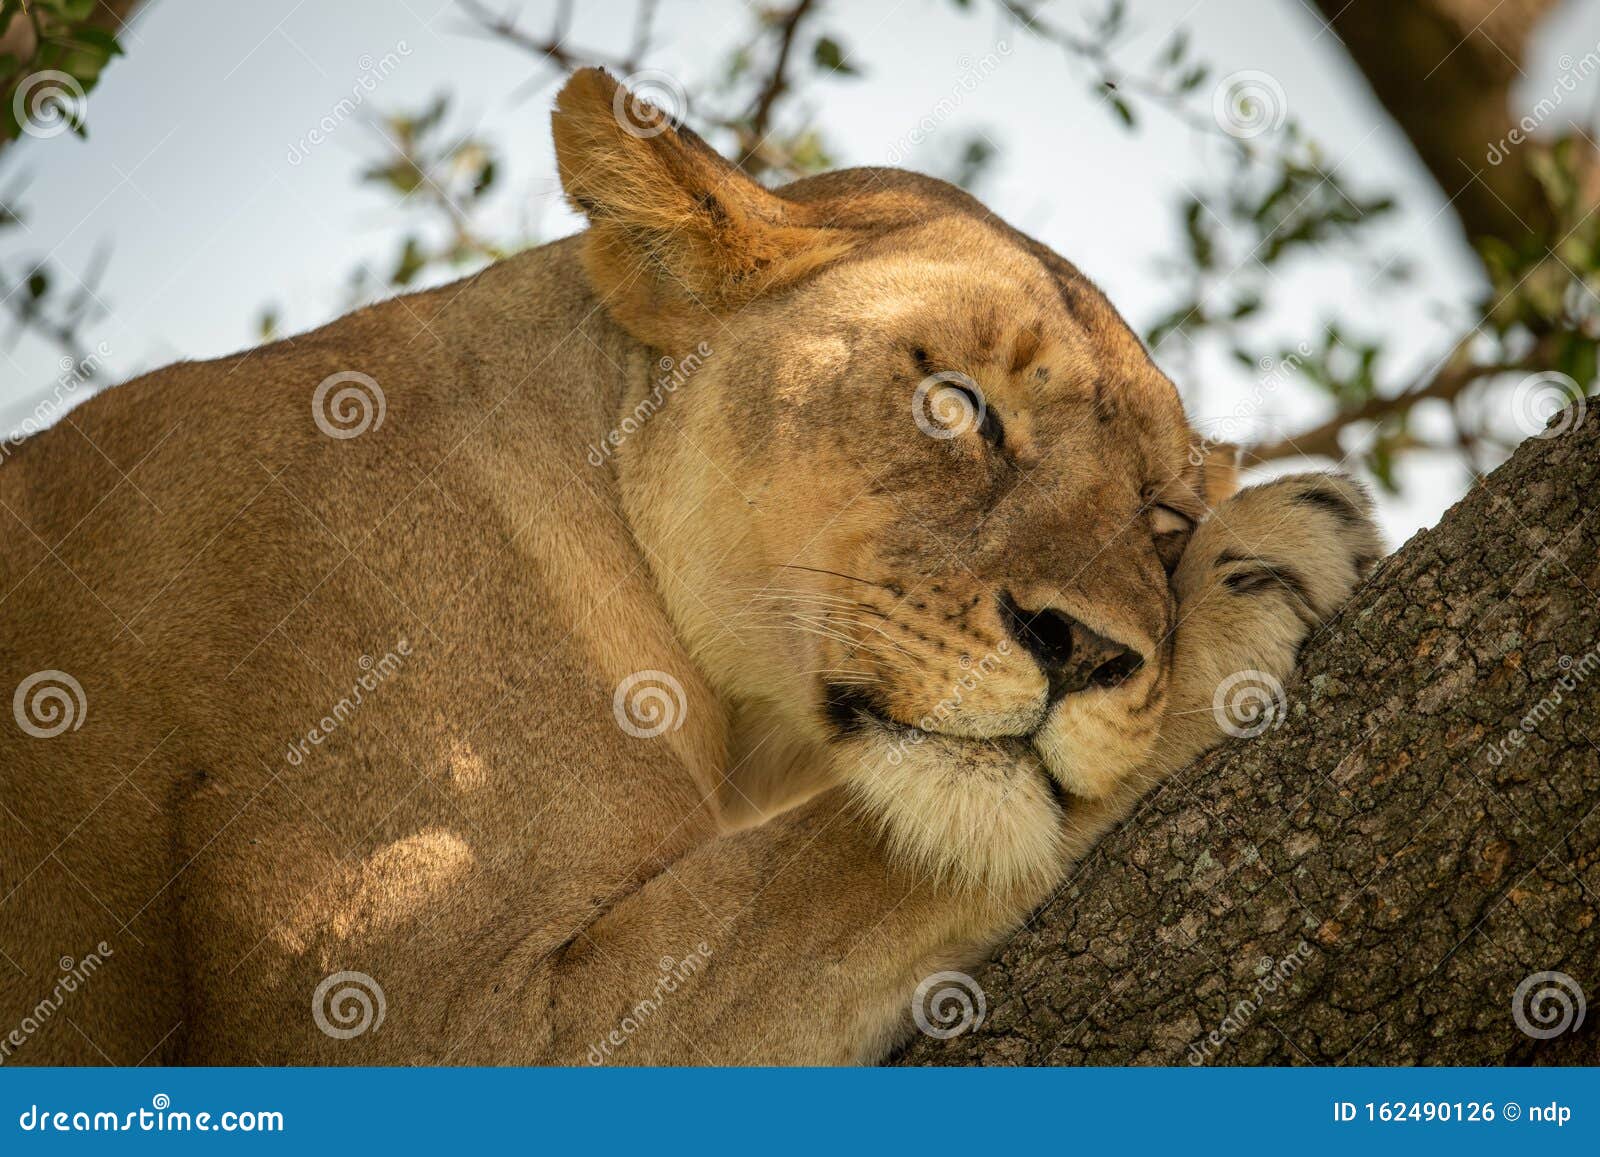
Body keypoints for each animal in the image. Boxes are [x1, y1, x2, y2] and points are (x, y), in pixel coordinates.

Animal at [0, 69, 1380, 1065]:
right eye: (954, 403)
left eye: (1160, 511)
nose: (1086, 648)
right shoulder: (431, 1012)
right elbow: (820, 874)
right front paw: (1256, 580)